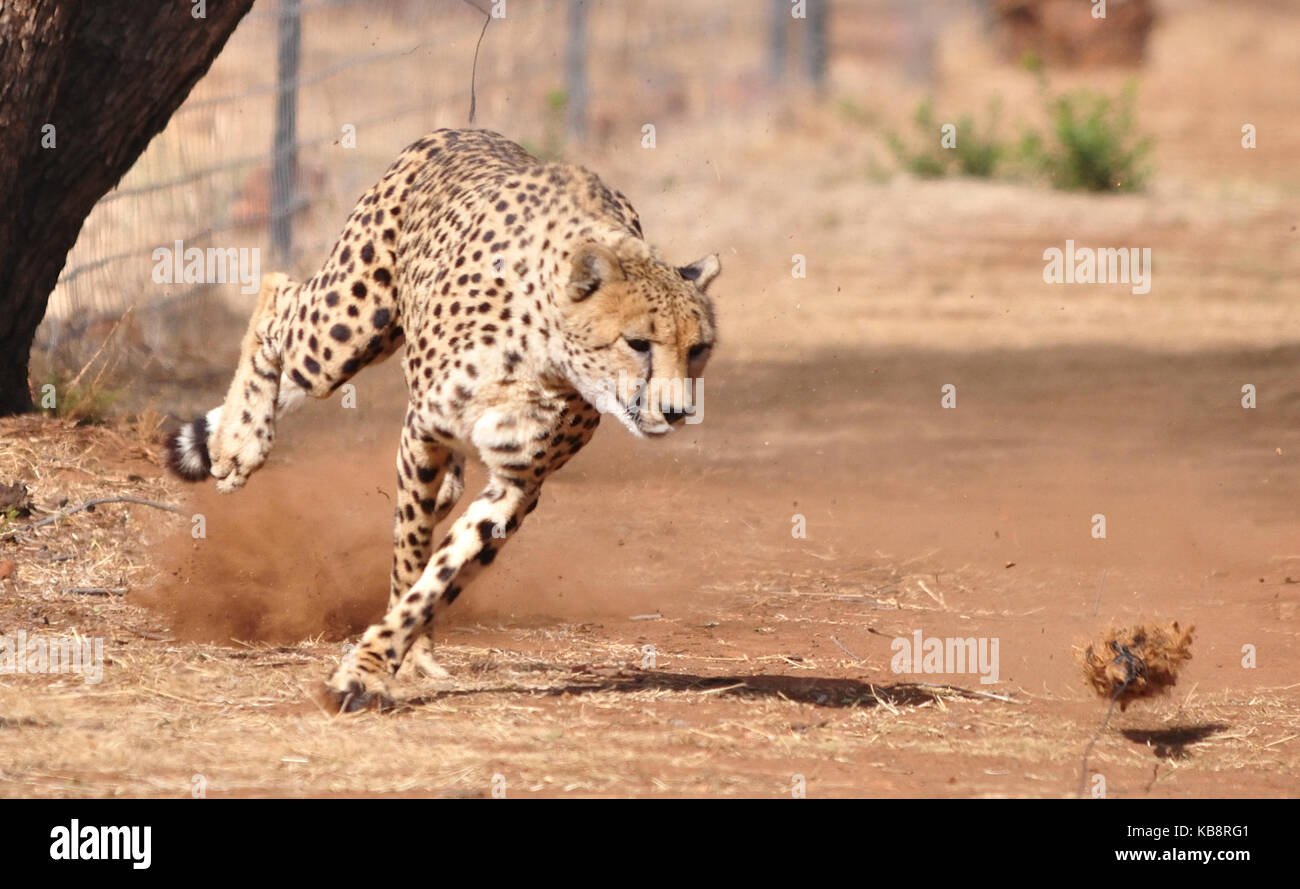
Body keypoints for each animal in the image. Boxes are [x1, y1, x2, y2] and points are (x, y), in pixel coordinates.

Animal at [163, 128, 720, 712]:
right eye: (637, 343)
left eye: (699, 348)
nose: (677, 409)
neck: (543, 358)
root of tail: (464, 131)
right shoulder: (421, 435)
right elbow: (411, 555)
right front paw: (401, 658)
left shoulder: (518, 484)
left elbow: (440, 577)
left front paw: (375, 665)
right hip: (345, 329)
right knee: (276, 295)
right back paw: (239, 439)